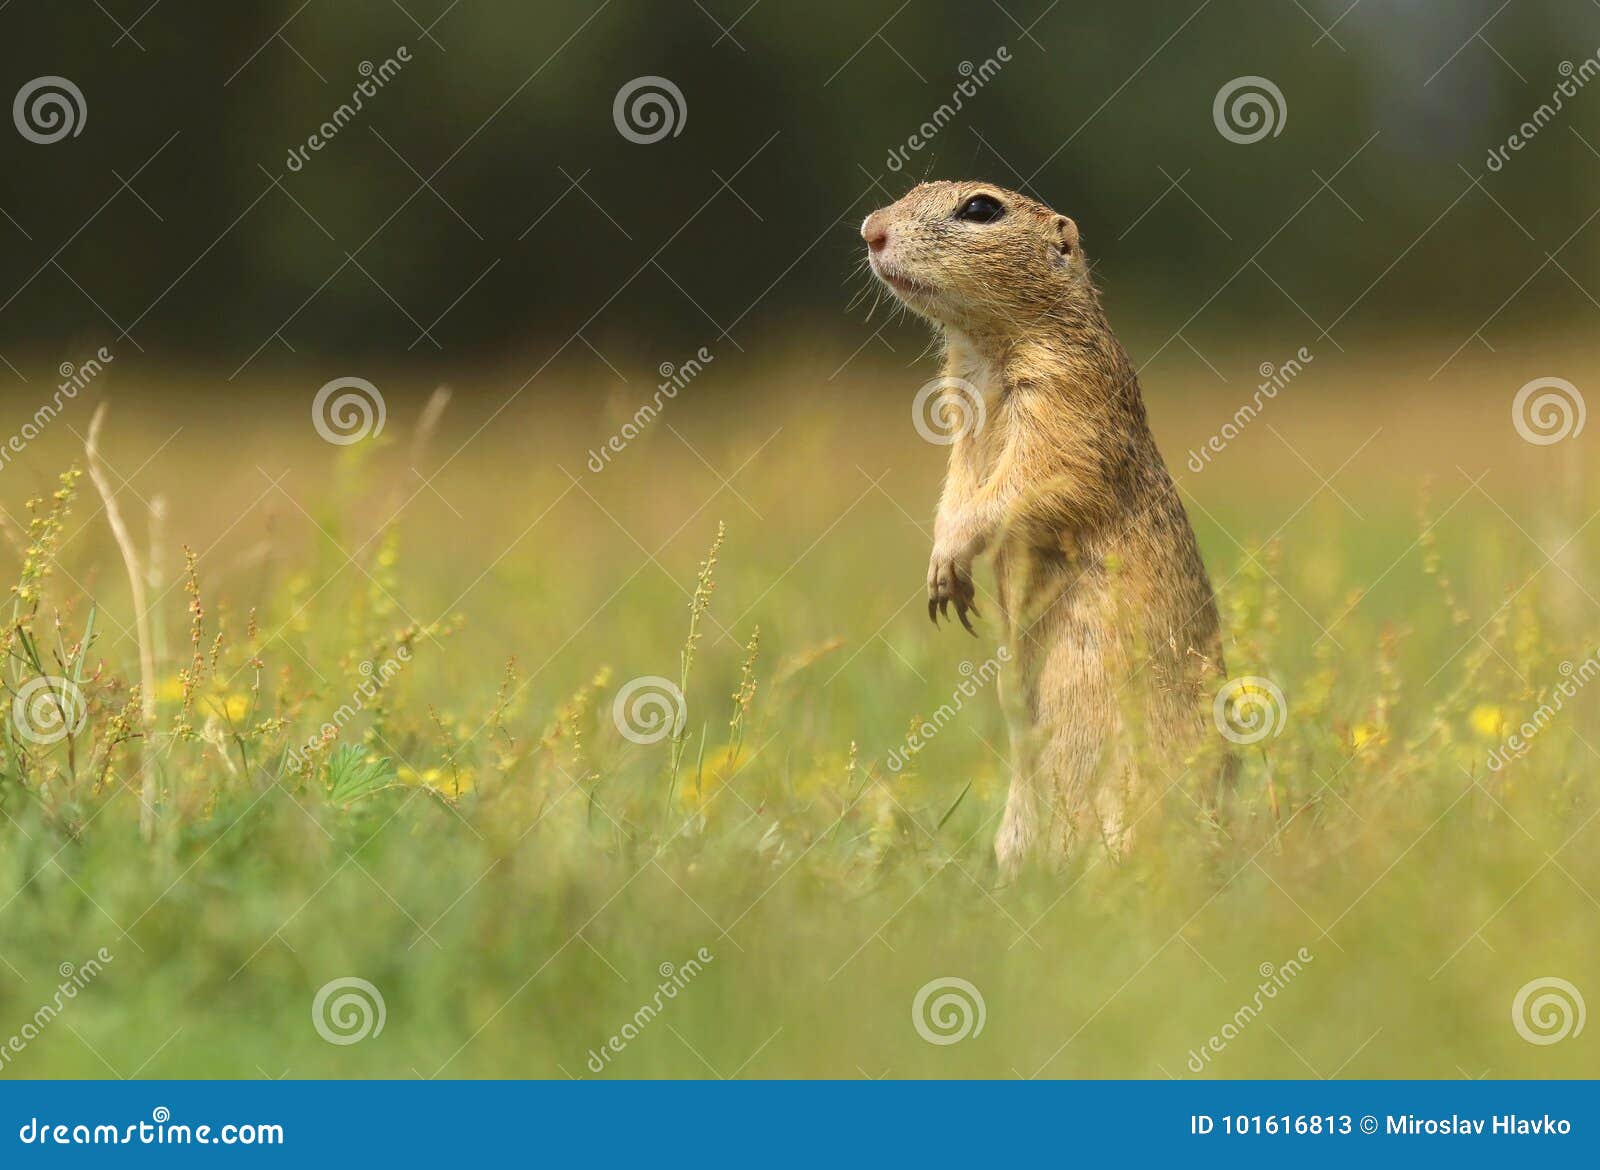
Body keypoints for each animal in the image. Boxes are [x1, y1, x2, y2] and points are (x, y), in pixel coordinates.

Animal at [862, 180, 1227, 875]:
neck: (981, 348)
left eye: (981, 208)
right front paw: (944, 572)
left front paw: (951, 559)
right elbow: (956, 490)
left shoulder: (1063, 402)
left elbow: (1026, 484)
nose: (870, 230)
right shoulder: (960, 432)